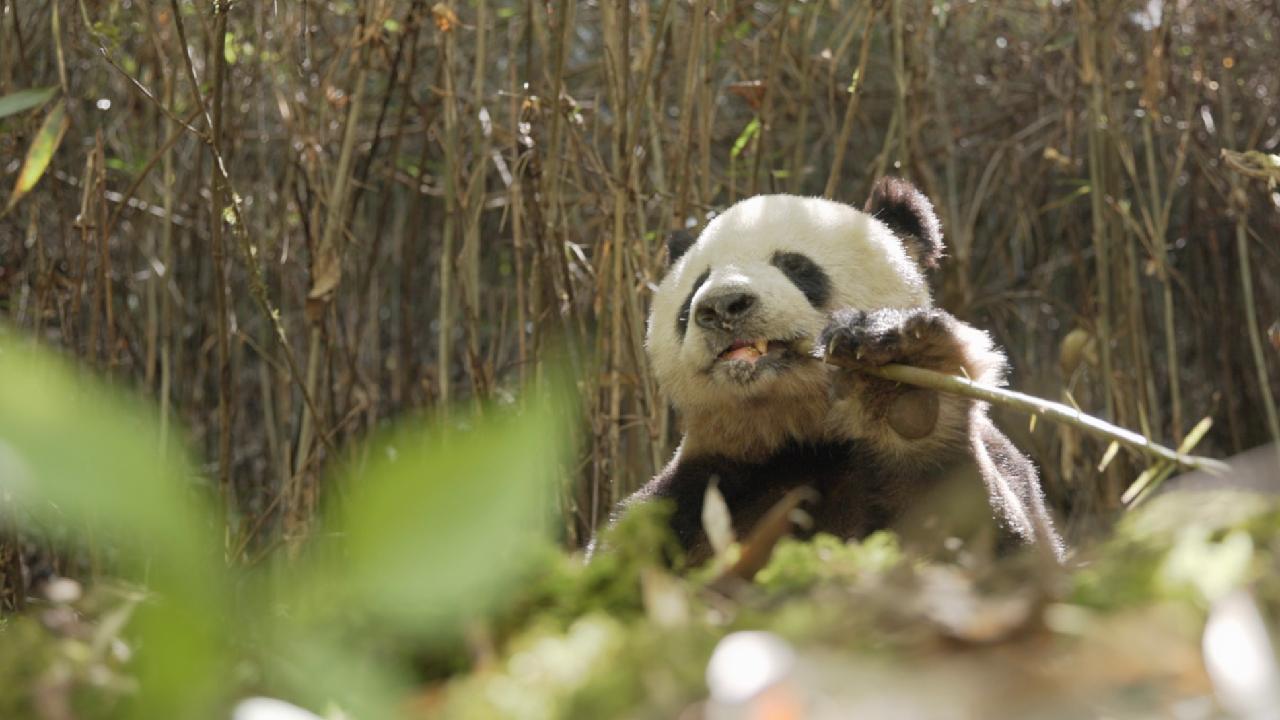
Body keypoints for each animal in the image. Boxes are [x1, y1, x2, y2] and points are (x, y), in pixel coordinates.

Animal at [604, 177, 1063, 564]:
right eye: (697, 285)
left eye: (795, 265)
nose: (723, 306)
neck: (795, 440)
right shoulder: (686, 500)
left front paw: (902, 393)